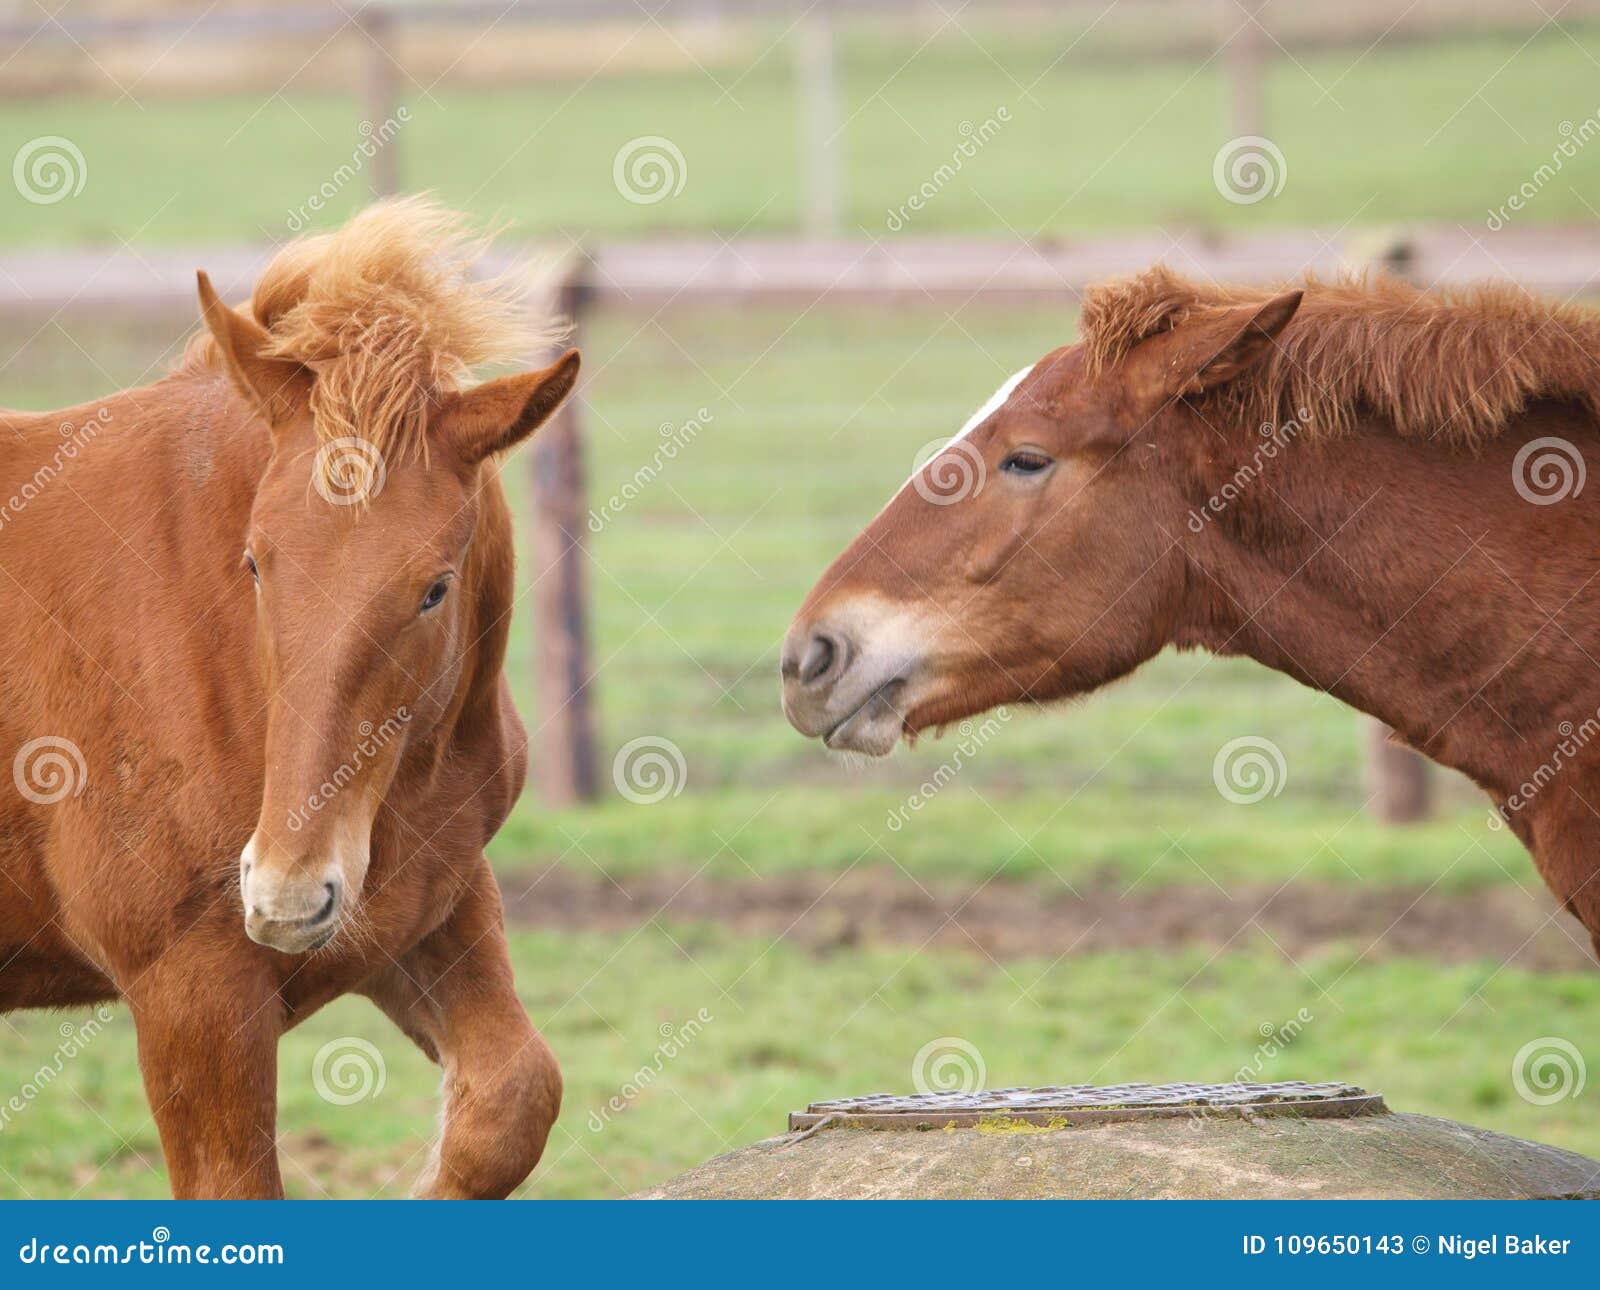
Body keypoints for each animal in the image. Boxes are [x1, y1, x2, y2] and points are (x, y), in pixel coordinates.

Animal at [0, 199, 577, 1198]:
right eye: (255, 562)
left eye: (434, 587)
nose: (285, 897)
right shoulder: (193, 992)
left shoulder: (421, 905)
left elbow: (510, 1101)